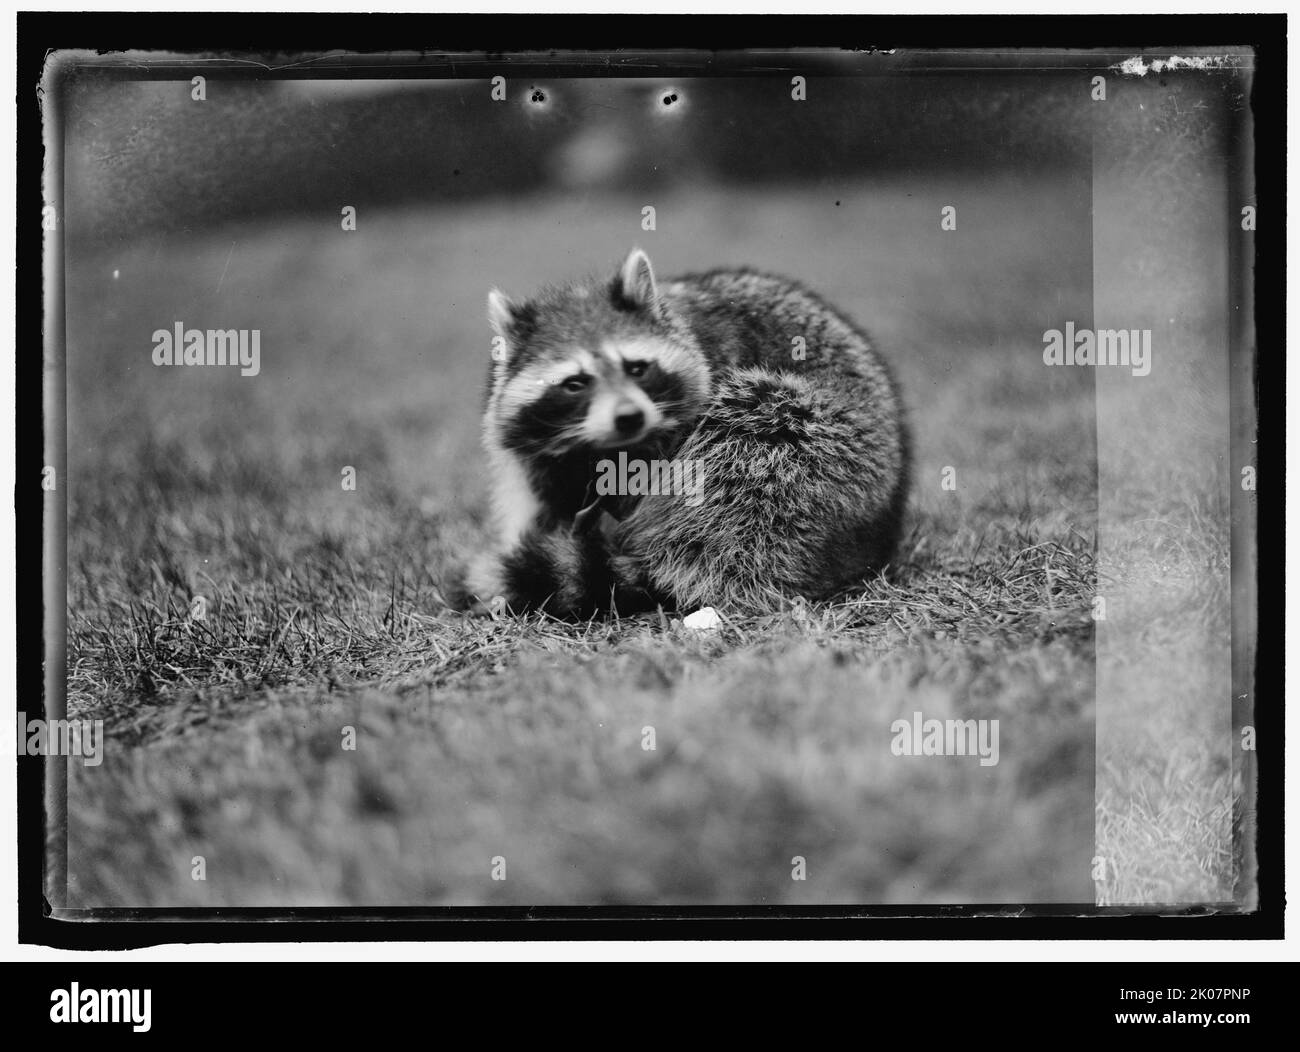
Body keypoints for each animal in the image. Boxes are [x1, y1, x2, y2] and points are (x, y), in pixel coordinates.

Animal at [461, 247, 910, 617]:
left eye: (636, 367)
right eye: (576, 383)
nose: (629, 417)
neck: (606, 449)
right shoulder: (534, 455)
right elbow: (541, 499)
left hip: (826, 447)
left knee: (749, 451)